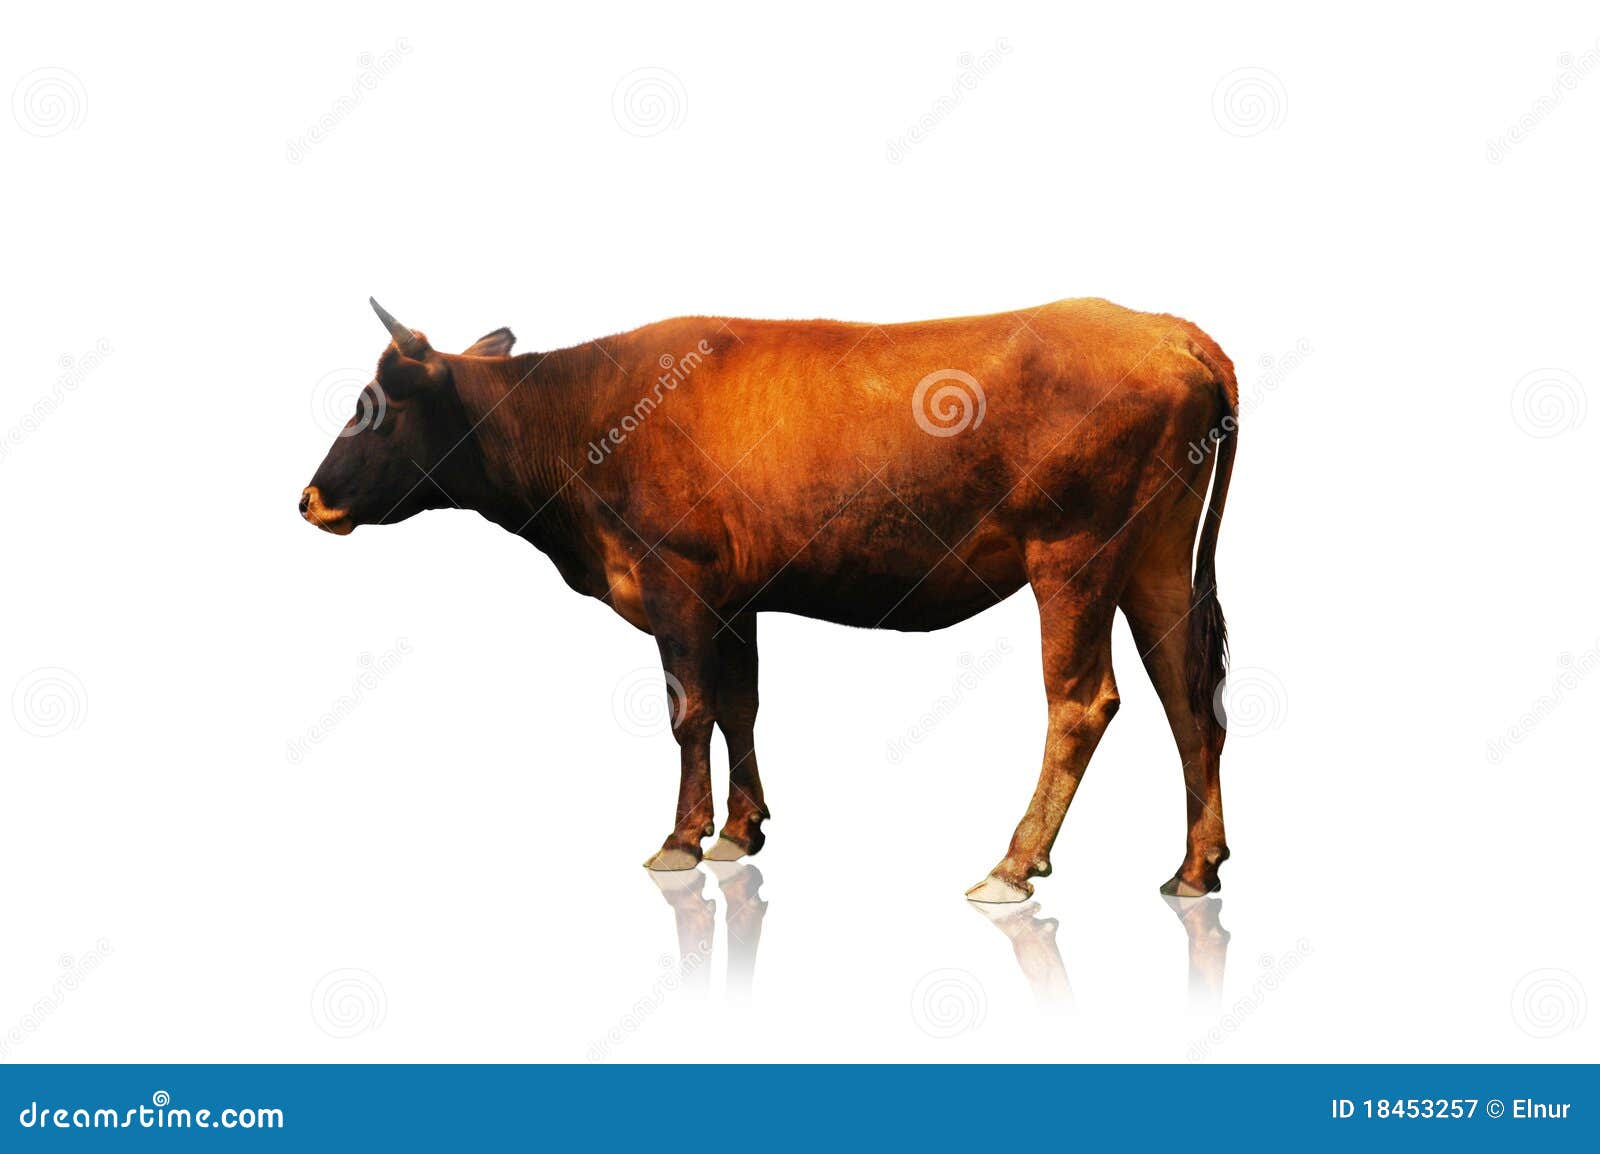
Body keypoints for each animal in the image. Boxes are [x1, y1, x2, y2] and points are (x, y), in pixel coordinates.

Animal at [300, 296, 1238, 901]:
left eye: (372, 406)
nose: (308, 500)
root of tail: (1171, 332)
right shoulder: (734, 597)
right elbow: (739, 706)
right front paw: (739, 831)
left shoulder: (673, 578)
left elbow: (689, 712)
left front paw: (680, 839)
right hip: (1155, 562)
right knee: (1189, 701)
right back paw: (1195, 870)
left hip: (1074, 555)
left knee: (1082, 701)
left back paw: (1014, 864)